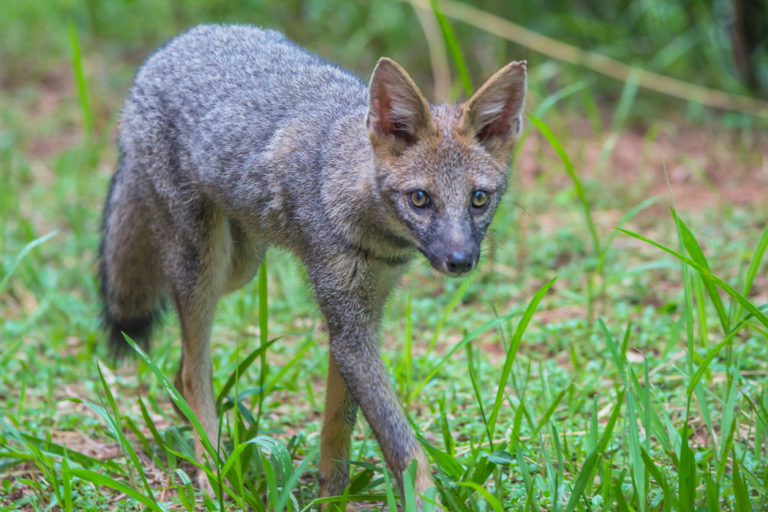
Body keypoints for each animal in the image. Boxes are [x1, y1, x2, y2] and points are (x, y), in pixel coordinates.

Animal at [99, 24, 526, 509]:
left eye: (479, 199)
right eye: (421, 199)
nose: (460, 261)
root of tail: (179, 42)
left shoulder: (357, 322)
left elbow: (339, 428)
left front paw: (330, 497)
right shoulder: (348, 327)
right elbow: (403, 445)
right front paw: (426, 498)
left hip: (238, 266)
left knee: (185, 366)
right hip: (202, 265)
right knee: (193, 373)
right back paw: (211, 471)